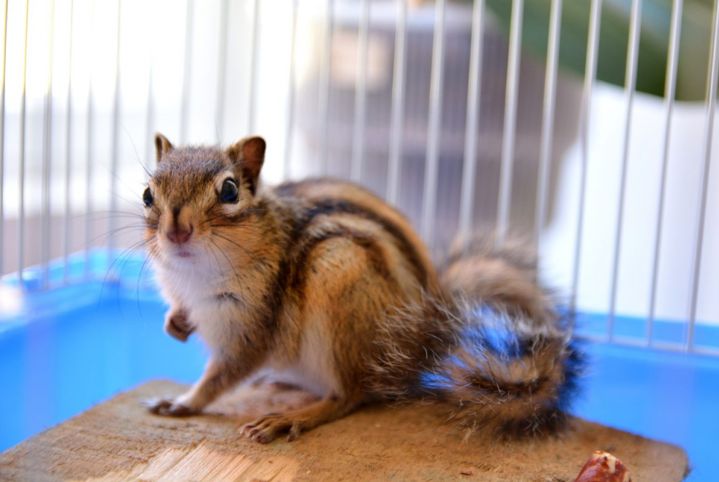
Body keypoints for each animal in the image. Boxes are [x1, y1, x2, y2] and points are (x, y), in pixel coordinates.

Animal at [144, 133, 582, 443]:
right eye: (148, 193)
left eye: (230, 191)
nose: (176, 230)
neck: (195, 275)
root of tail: (429, 331)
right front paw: (175, 323)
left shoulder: (252, 328)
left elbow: (221, 376)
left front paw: (182, 402)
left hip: (336, 281)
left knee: (350, 395)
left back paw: (290, 418)